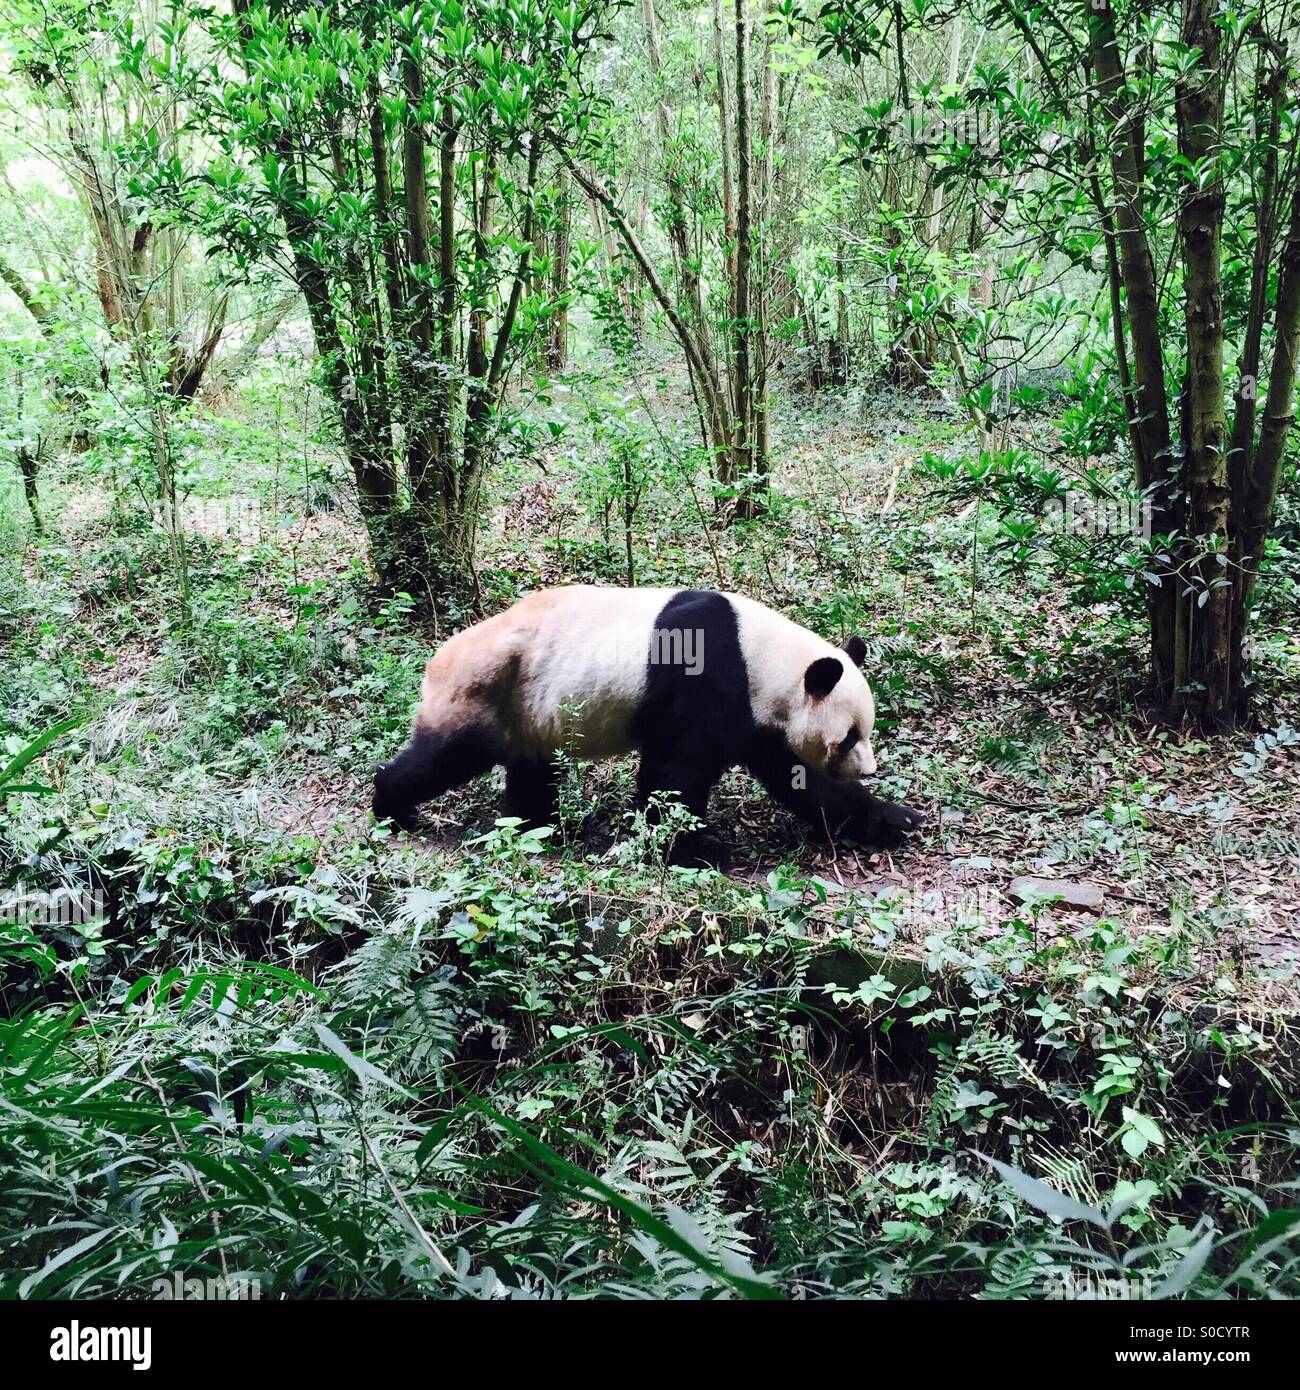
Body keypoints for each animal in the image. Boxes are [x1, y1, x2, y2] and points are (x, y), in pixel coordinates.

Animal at [373, 586, 921, 863]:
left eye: (866, 731)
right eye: (848, 737)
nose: (867, 770)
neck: (764, 657)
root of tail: (438, 659)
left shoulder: (757, 716)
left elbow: (797, 781)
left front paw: (897, 819)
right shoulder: (707, 678)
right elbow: (675, 775)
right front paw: (692, 849)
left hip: (531, 708)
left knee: (532, 770)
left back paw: (535, 828)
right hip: (489, 688)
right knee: (447, 755)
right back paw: (392, 808)